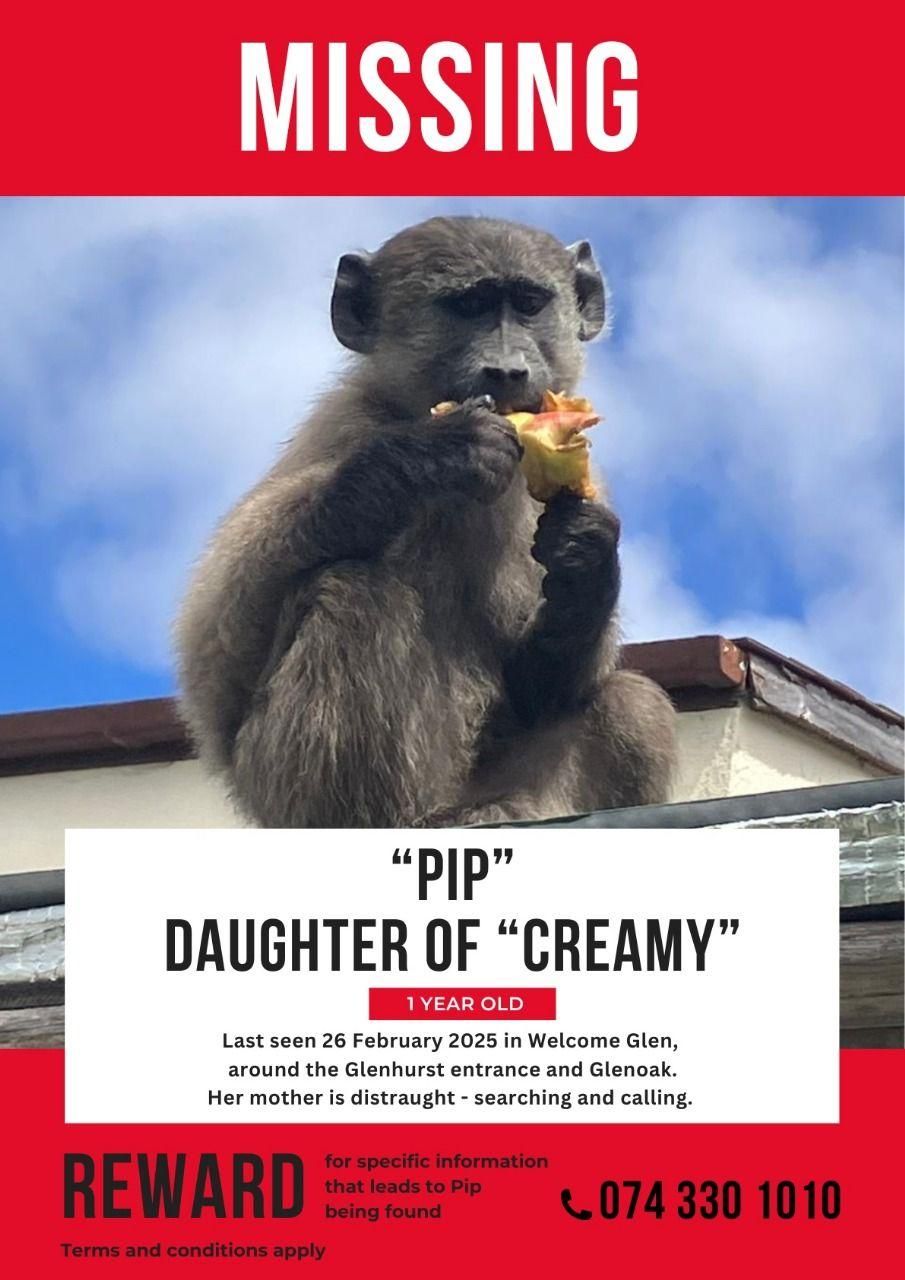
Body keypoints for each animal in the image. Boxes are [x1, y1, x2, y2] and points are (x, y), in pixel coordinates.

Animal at [176, 216, 676, 828]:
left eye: (528, 304)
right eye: (469, 306)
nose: (507, 370)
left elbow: (541, 691)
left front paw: (588, 557)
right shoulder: (348, 423)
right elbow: (215, 656)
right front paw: (428, 458)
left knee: (632, 703)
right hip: (281, 793)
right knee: (360, 593)